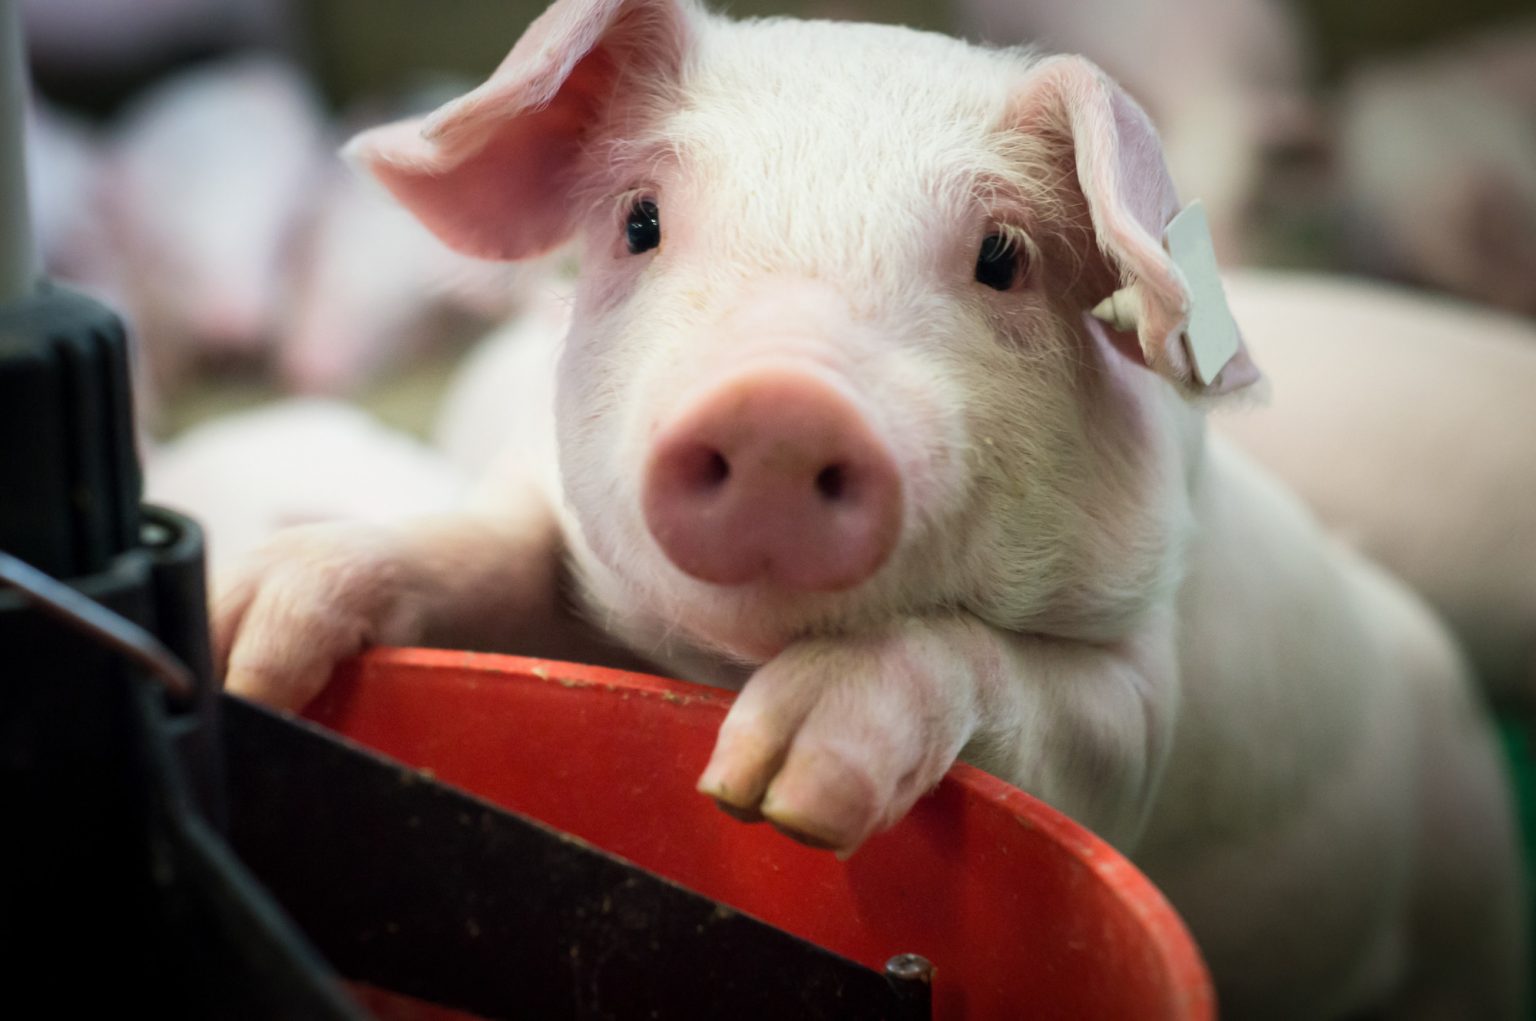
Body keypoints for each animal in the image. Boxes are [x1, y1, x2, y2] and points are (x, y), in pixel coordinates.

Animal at [213, 0, 1527, 1014]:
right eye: (639, 222)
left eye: (1002, 257)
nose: (781, 403)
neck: (721, 669)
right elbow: (481, 551)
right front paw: (246, 643)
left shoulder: (1142, 693)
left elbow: (1024, 700)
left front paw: (775, 791)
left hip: (1467, 899)